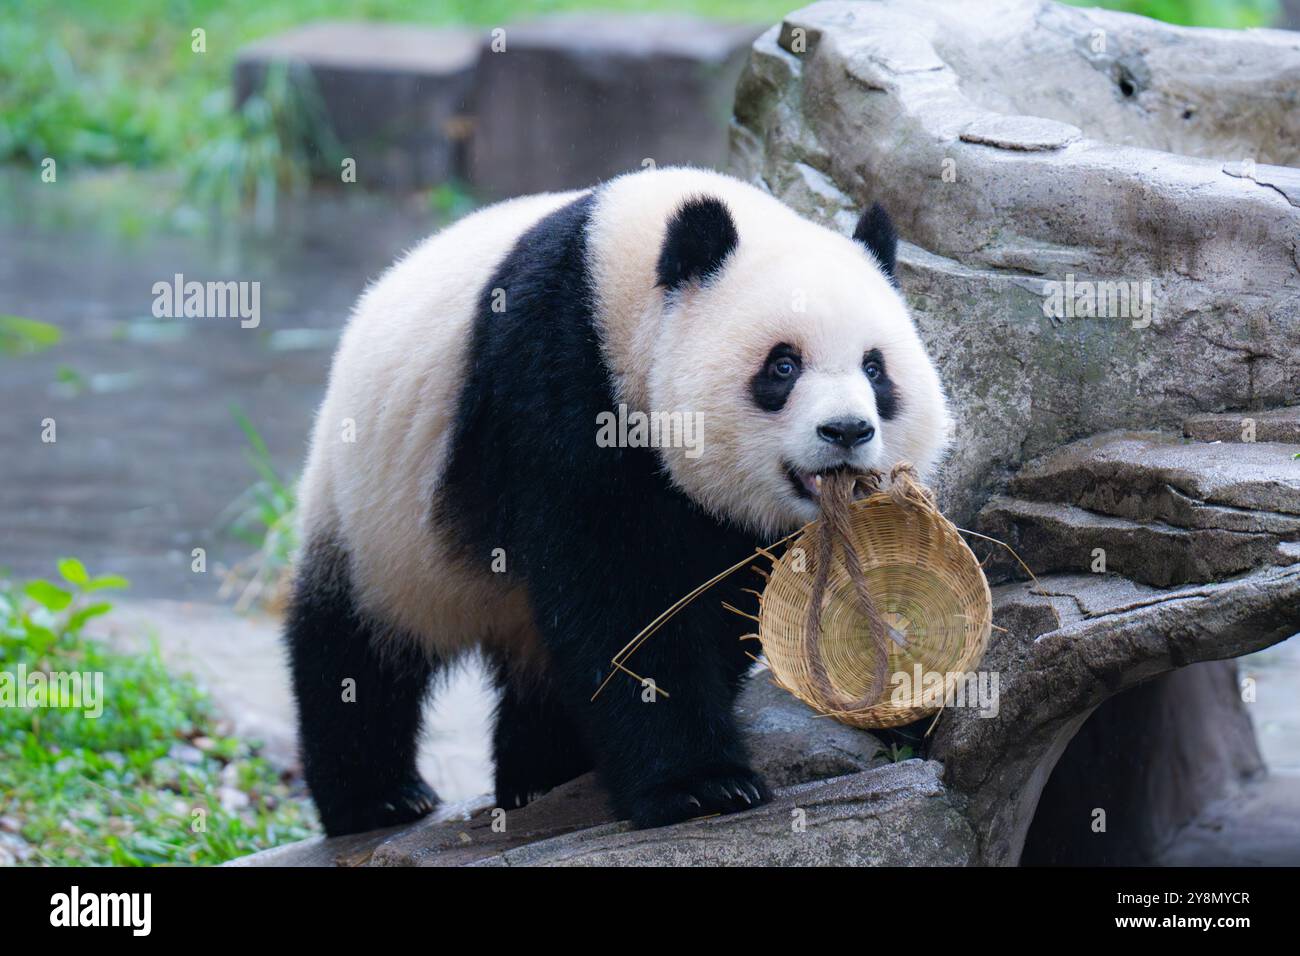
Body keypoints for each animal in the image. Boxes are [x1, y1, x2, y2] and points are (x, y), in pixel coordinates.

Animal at [287, 166, 952, 836]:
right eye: (783, 366)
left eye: (875, 369)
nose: (847, 430)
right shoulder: (554, 380)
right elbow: (618, 590)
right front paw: (700, 786)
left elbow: (718, 600)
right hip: (374, 515)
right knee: (354, 649)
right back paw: (377, 798)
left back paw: (540, 772)